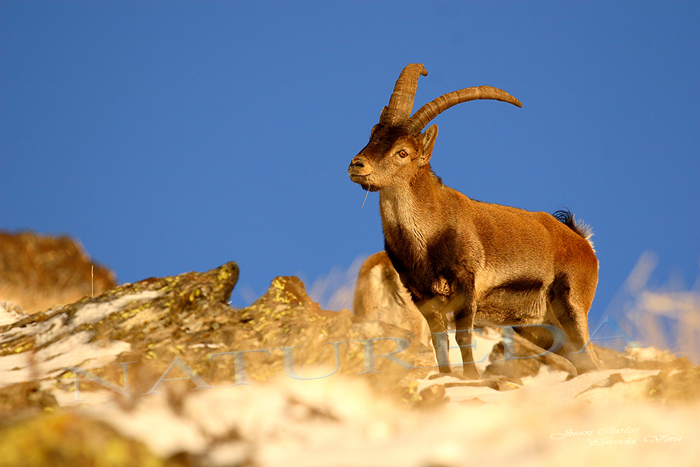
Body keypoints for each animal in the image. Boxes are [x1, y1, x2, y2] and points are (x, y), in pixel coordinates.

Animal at [348, 64, 599, 378]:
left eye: (402, 152)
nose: (357, 165)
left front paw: (471, 378)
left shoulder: (466, 287)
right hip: (537, 326)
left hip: (572, 306)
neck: (427, 235)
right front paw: (447, 375)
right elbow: (439, 343)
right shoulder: (422, 298)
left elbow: (463, 337)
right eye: (373, 135)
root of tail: (582, 242)